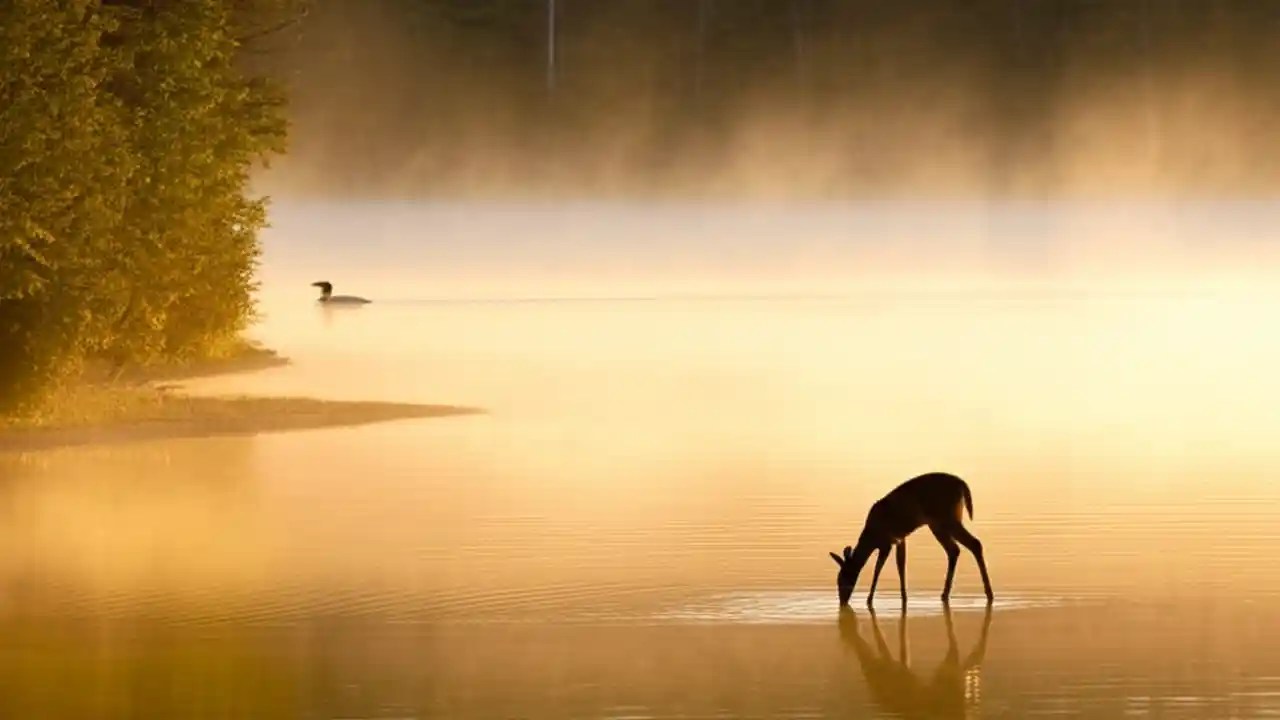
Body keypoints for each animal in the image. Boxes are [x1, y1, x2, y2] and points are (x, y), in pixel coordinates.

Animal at [829, 472, 993, 608]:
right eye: (838, 578)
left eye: (843, 577)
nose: (842, 601)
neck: (871, 536)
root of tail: (963, 485)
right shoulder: (900, 539)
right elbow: (901, 565)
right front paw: (904, 597)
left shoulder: (886, 542)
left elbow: (878, 568)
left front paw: (869, 600)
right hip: (938, 524)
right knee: (954, 549)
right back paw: (945, 594)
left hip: (947, 518)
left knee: (974, 543)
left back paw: (989, 593)